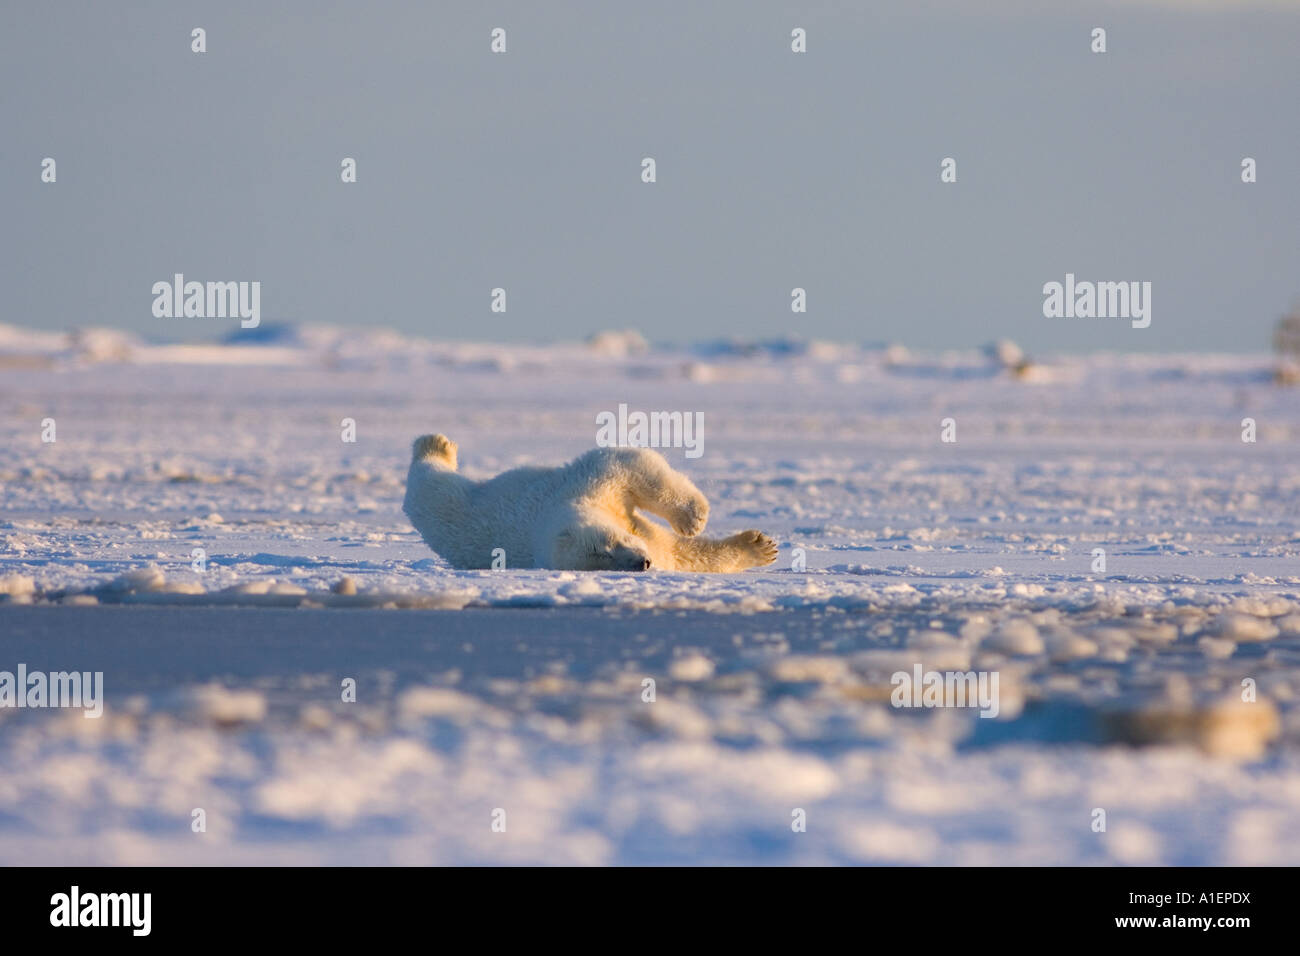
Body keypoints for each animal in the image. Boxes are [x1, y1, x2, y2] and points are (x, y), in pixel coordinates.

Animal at [402, 434, 778, 572]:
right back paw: (436, 446)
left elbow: (630, 464)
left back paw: (436, 443)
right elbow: (679, 554)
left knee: (435, 490)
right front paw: (760, 548)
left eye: (609, 545)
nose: (642, 563)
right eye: (604, 561)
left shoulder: (589, 485)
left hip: (464, 504)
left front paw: (693, 518)